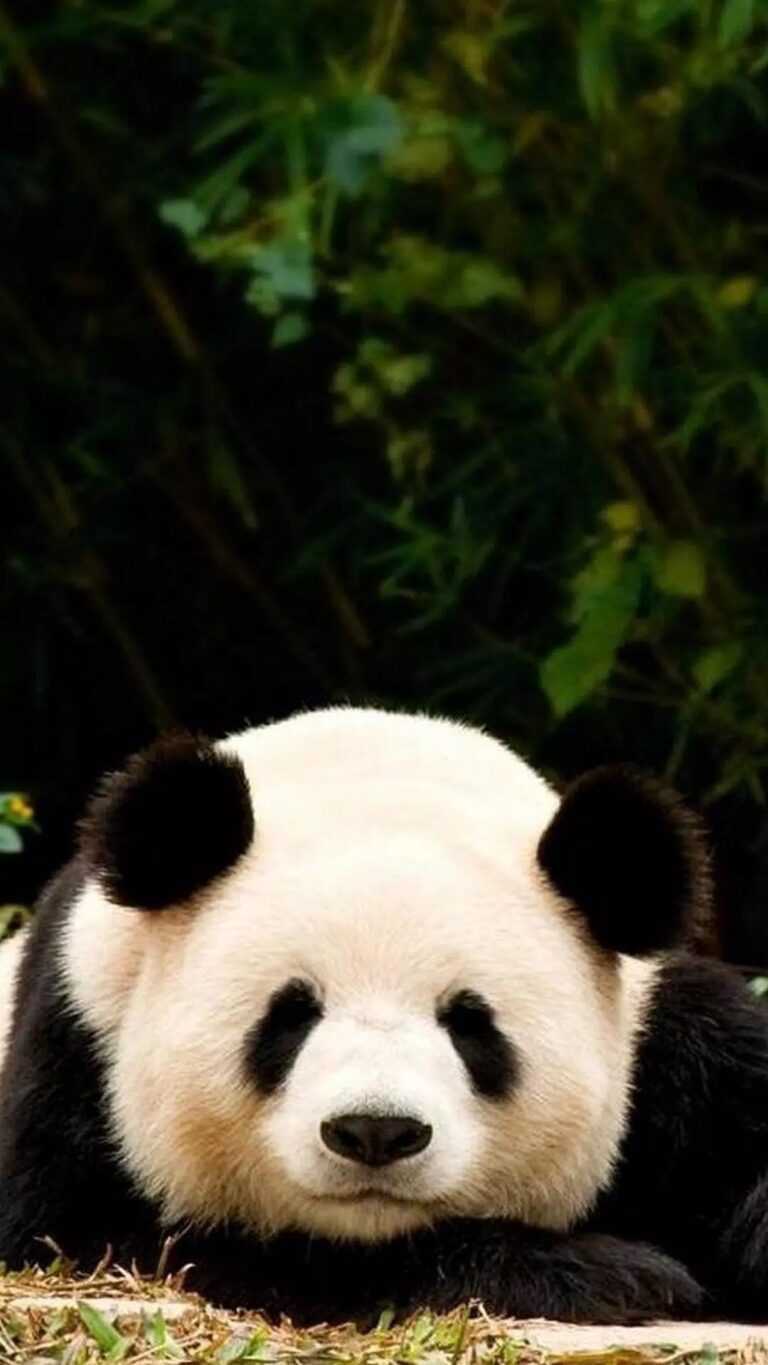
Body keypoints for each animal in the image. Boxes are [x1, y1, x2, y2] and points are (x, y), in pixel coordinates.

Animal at [1, 705, 768, 1326]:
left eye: (470, 1023)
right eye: (290, 1015)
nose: (376, 1131)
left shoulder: (678, 1042)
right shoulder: (80, 1036)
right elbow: (113, 1237)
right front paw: (604, 1274)